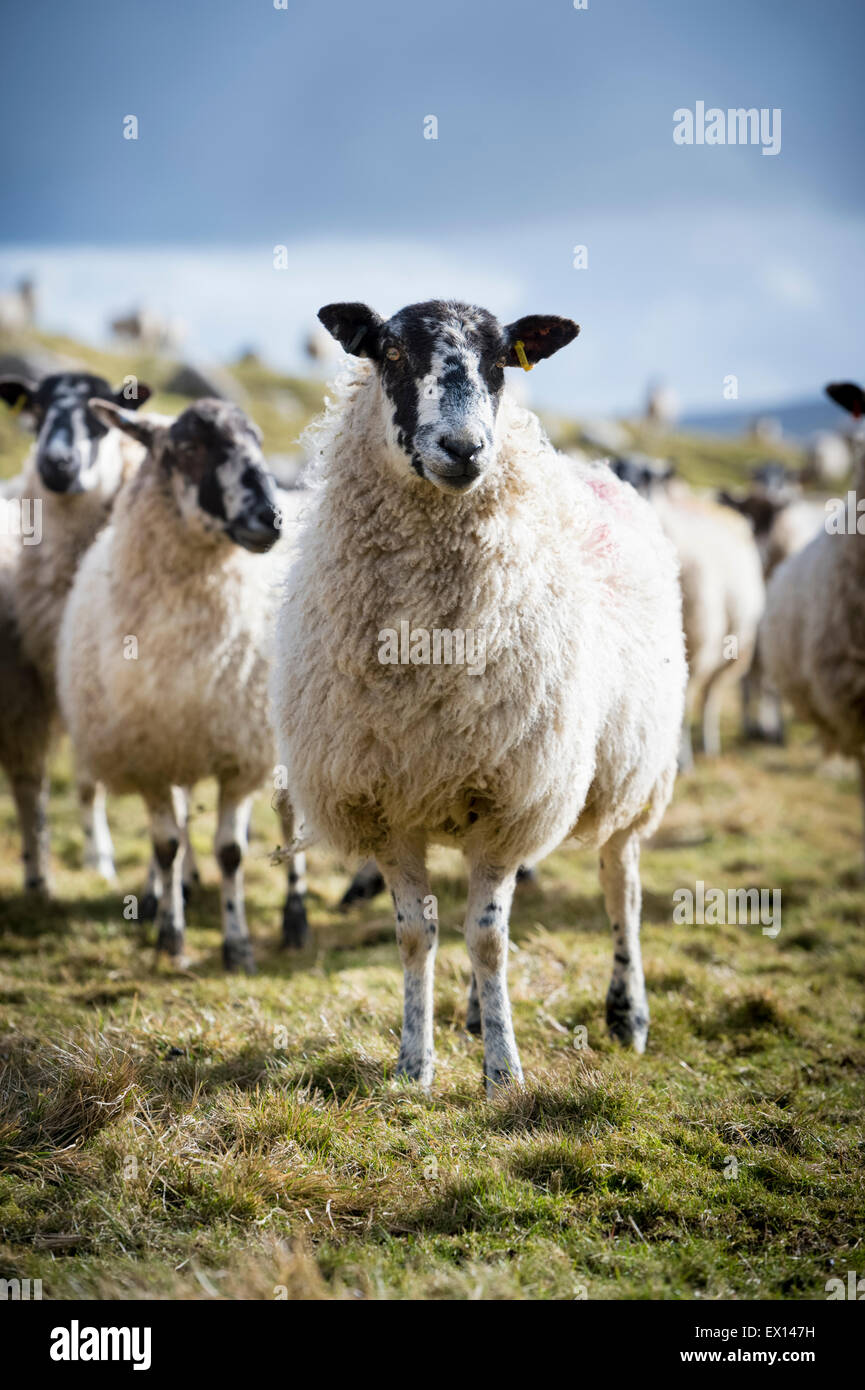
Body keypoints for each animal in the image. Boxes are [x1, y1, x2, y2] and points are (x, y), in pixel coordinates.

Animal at [56, 397, 309, 970]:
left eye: (257, 442)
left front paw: (237, 946)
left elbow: (231, 852)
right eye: (189, 447)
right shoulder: (149, 753)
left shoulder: (242, 754)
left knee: (291, 822)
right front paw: (170, 934)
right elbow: (166, 845)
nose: (270, 517)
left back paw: (295, 918)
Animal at [271, 298, 687, 1093]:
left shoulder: (507, 798)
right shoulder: (387, 802)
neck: (427, 651)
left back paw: (628, 1014)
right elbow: (417, 936)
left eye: (501, 361)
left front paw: (504, 1071)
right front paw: (414, 1065)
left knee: (620, 885)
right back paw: (466, 1014)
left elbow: (489, 939)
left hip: (632, 771)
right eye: (391, 352)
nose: (463, 448)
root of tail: (600, 471)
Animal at [611, 457, 765, 767]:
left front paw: (682, 759)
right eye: (618, 470)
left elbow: (685, 703)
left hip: (734, 649)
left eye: (649, 480)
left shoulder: (697, 647)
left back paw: (709, 741)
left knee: (710, 697)